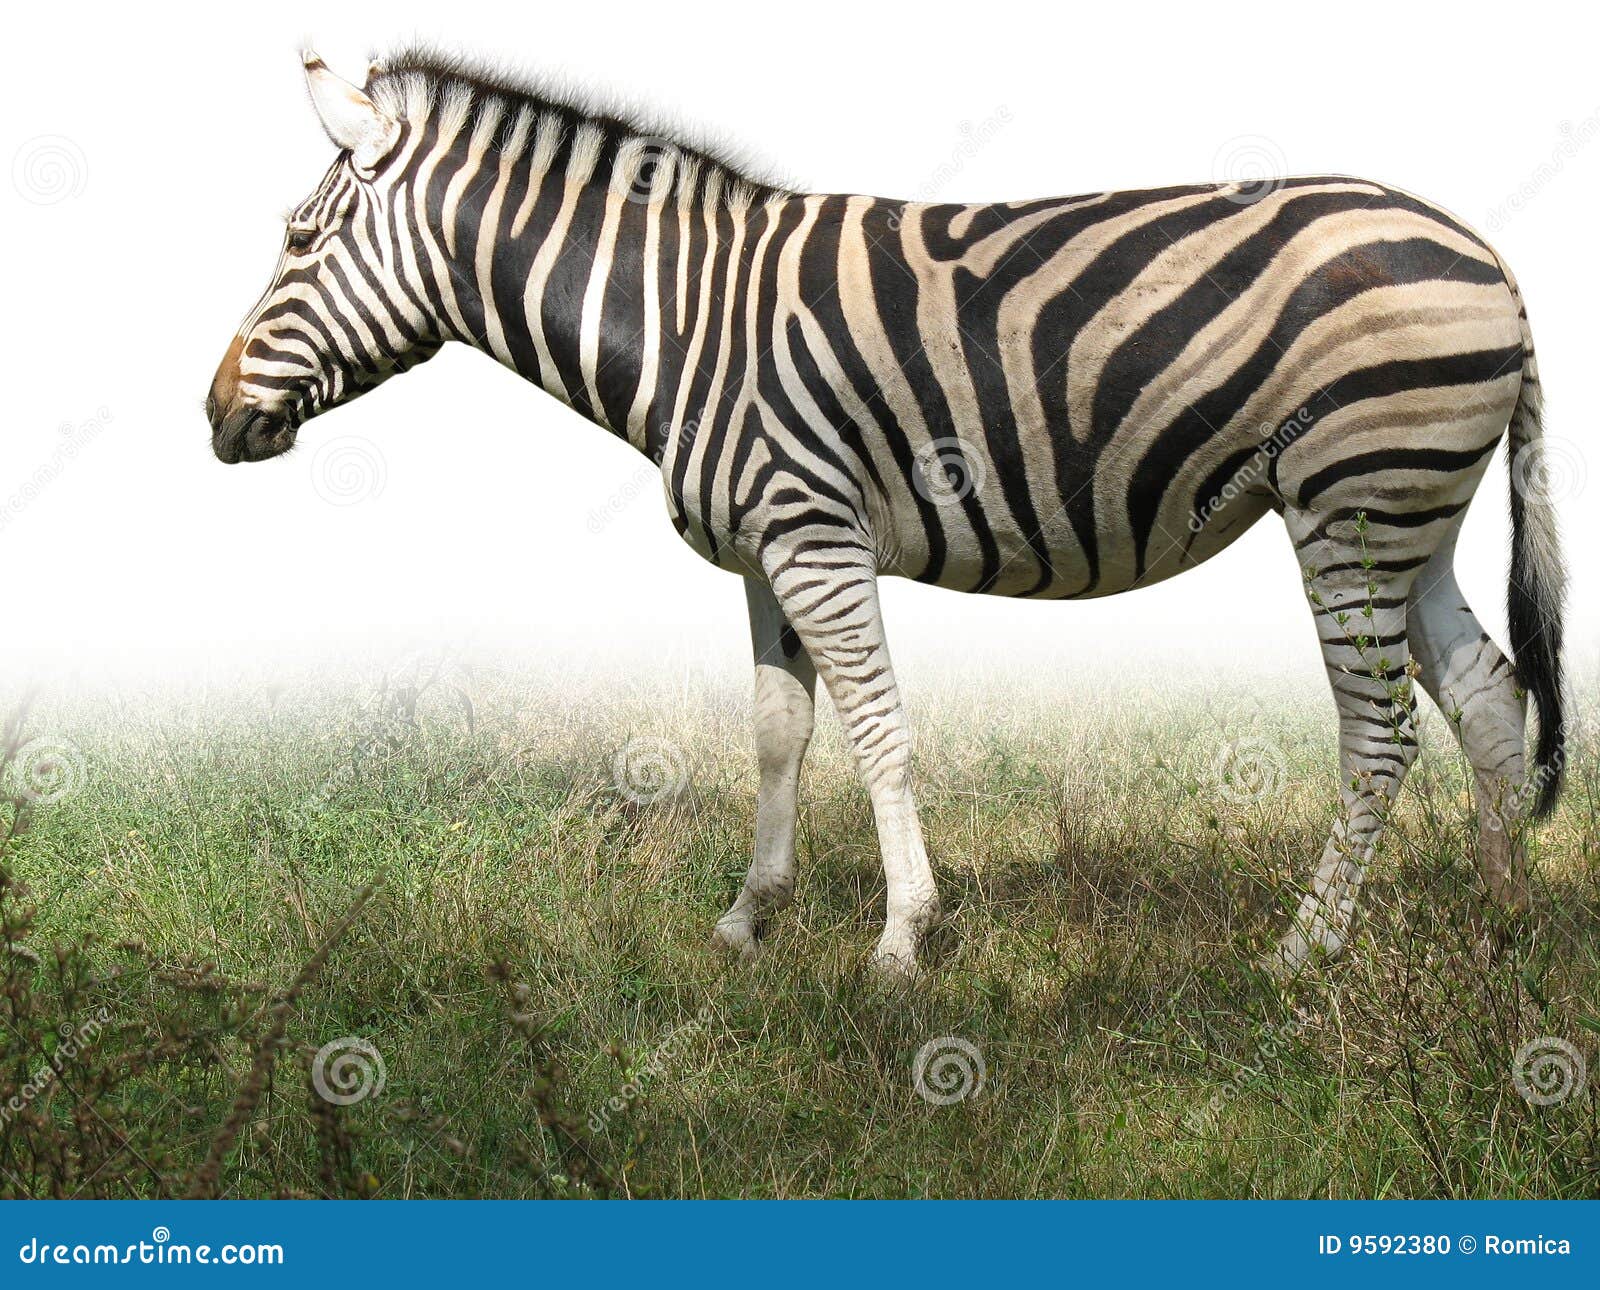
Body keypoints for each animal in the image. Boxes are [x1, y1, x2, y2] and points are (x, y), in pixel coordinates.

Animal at [207, 49, 1567, 978]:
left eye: (298, 238)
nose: (215, 417)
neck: (689, 321)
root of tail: (1489, 254)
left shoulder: (816, 534)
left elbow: (877, 731)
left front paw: (901, 939)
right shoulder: (763, 553)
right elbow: (776, 735)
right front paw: (747, 920)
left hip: (1349, 499)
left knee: (1380, 733)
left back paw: (1304, 951)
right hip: (1409, 516)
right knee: (1489, 700)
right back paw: (1498, 926)